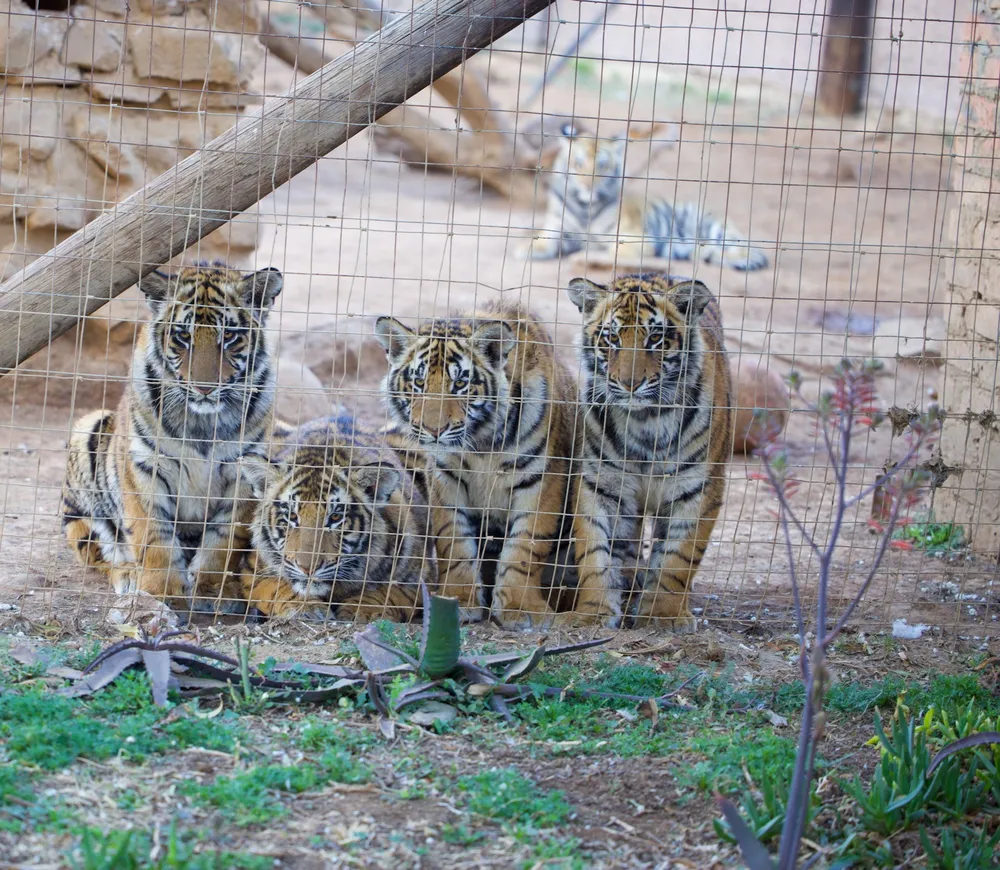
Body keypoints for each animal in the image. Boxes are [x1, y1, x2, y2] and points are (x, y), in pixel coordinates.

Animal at [60, 263, 284, 614]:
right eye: (183, 336)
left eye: (229, 336)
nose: (205, 388)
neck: (203, 422)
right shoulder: (144, 469)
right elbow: (153, 536)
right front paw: (162, 591)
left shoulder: (241, 477)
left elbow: (223, 540)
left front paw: (212, 591)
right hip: (86, 433)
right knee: (100, 549)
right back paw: (128, 575)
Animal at [237, 413, 437, 623]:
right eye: (292, 516)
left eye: (334, 517)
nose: (308, 569)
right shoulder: (252, 571)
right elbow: (279, 588)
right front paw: (307, 608)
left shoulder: (419, 577)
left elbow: (386, 593)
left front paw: (361, 611)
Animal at [373, 301, 578, 629]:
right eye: (419, 383)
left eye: (460, 384)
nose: (433, 430)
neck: (482, 441)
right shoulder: (445, 477)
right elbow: (454, 542)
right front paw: (458, 599)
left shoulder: (542, 479)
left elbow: (525, 547)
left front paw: (520, 607)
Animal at [518, 123, 768, 273]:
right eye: (578, 164)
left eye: (602, 165)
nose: (588, 185)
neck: (584, 206)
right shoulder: (556, 228)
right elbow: (542, 241)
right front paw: (526, 249)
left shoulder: (632, 237)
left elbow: (613, 250)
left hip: (711, 225)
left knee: (752, 252)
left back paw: (737, 259)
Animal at [563, 272, 732, 629]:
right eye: (611, 338)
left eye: (655, 338)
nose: (630, 385)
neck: (646, 421)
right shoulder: (601, 484)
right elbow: (596, 552)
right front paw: (593, 612)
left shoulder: (696, 488)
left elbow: (678, 558)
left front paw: (663, 615)